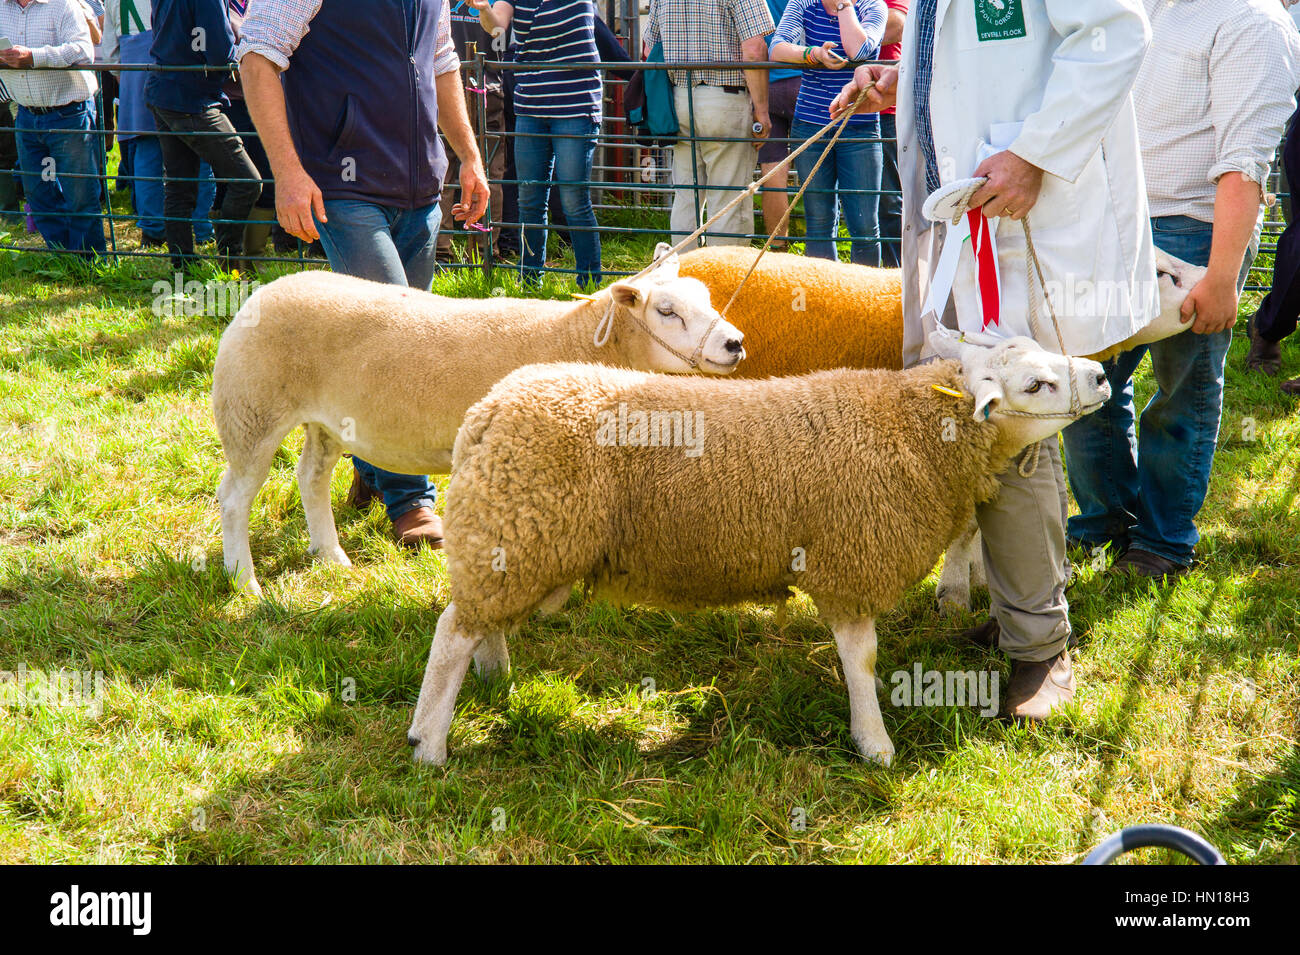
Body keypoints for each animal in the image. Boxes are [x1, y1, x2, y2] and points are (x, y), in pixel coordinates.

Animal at [212, 250, 745, 597]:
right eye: (667, 311)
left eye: (707, 299)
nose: (735, 343)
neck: (579, 339)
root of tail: (266, 289)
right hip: (250, 409)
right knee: (234, 496)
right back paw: (244, 581)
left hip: (322, 421)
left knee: (311, 476)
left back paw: (331, 556)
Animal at [406, 334, 1112, 767]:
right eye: (1039, 384)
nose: (1103, 374)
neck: (916, 428)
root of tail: (488, 411)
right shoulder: (848, 562)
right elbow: (862, 662)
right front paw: (874, 742)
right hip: (520, 530)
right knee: (451, 633)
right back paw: (430, 743)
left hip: (516, 542)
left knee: (482, 623)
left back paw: (495, 677)